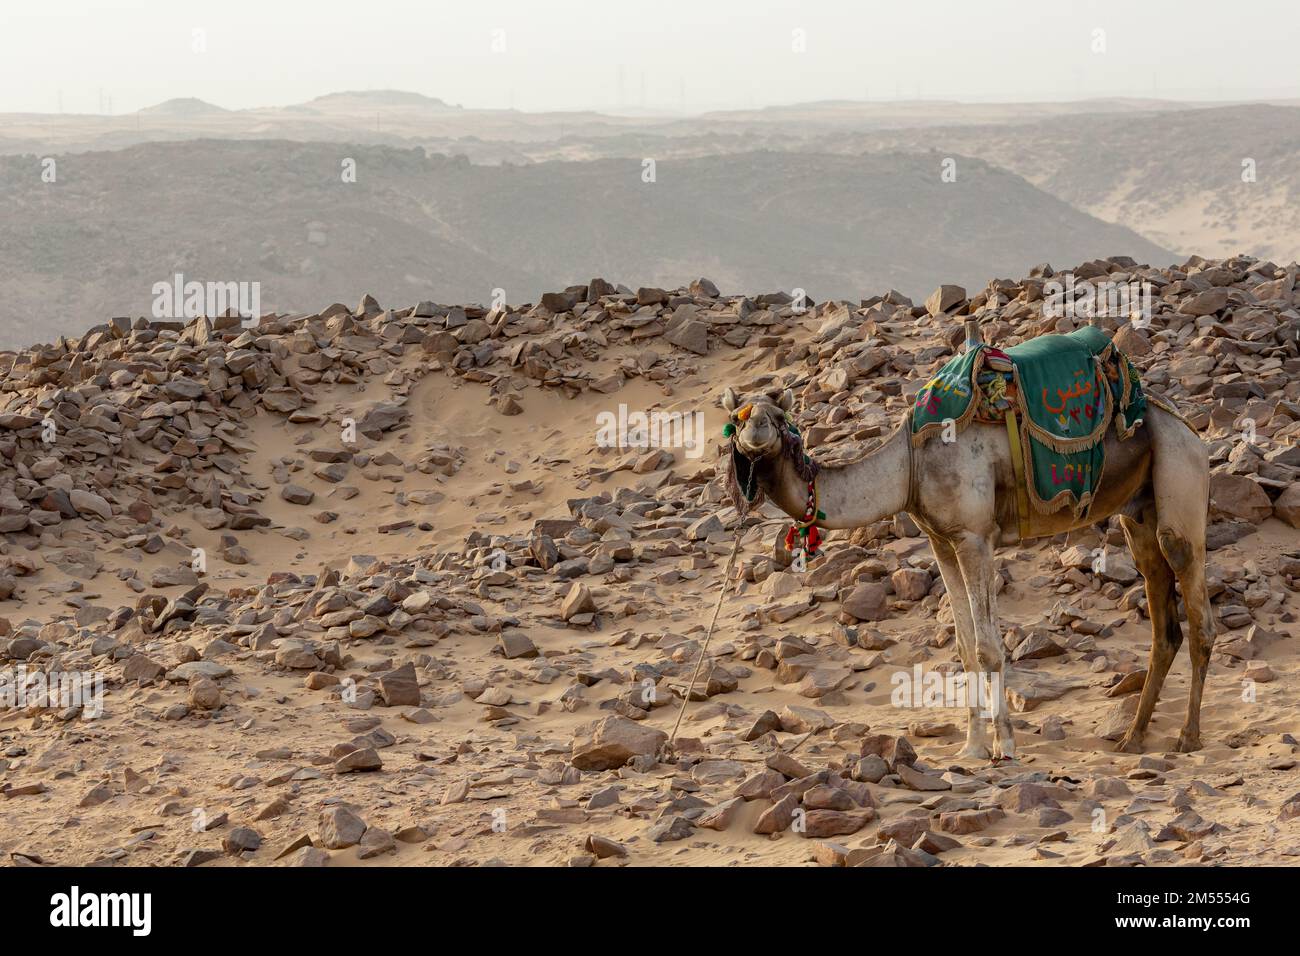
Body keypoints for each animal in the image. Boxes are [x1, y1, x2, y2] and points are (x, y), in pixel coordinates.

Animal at [722, 361, 1213, 762]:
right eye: (738, 417)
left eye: (777, 417)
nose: (757, 430)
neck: (909, 464)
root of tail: (1189, 426)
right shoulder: (942, 539)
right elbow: (963, 646)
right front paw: (973, 747)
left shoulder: (975, 537)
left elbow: (987, 647)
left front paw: (1005, 746)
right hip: (1139, 510)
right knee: (1162, 616)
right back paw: (1133, 737)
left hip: (1180, 471)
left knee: (1194, 602)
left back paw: (1188, 737)